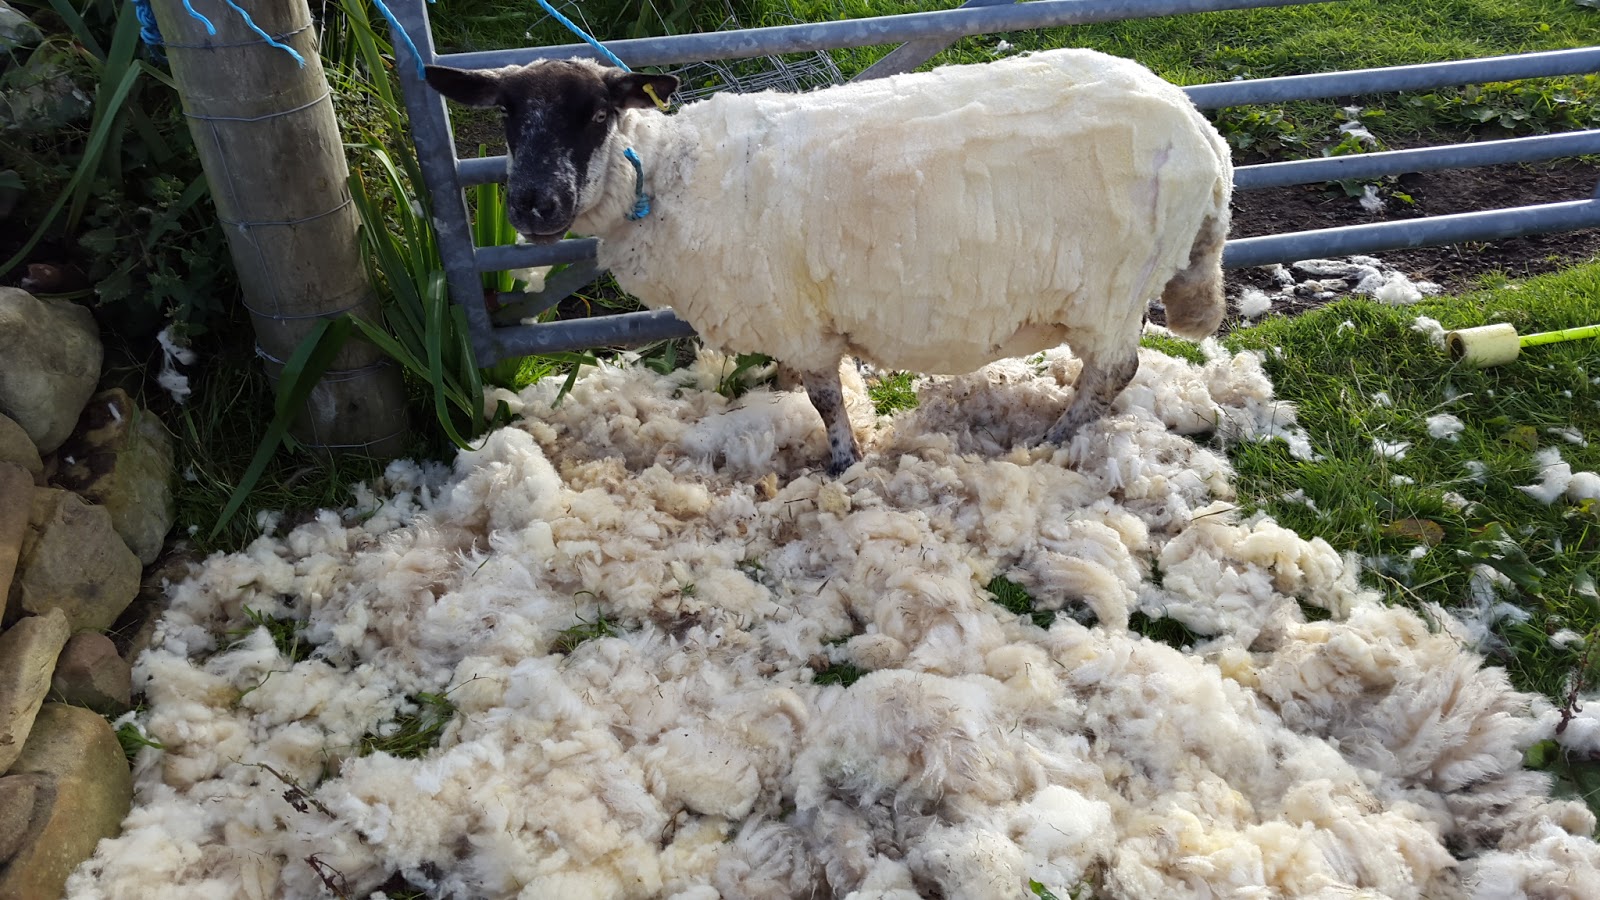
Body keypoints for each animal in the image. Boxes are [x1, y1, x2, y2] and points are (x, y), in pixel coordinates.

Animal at [425, 48, 1233, 474]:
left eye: (595, 113)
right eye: (507, 115)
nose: (533, 205)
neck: (666, 178)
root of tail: (1204, 133)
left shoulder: (796, 318)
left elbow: (824, 397)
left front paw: (842, 463)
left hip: (1116, 286)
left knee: (1115, 370)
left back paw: (1054, 440)